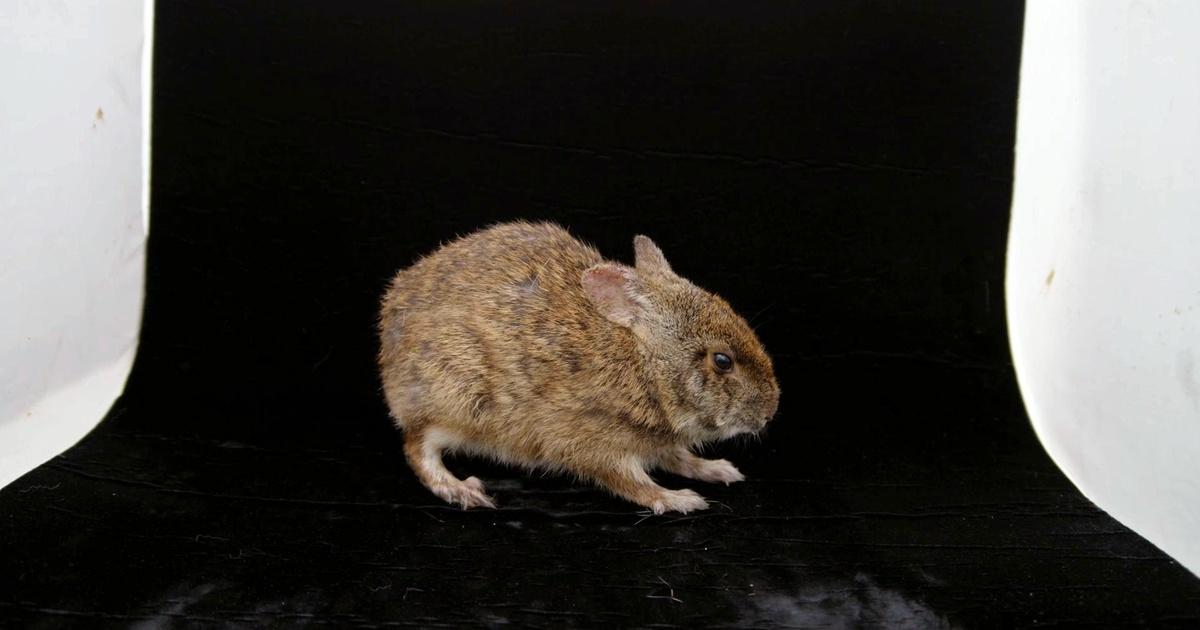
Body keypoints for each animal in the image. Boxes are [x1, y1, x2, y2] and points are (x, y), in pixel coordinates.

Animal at [376, 221, 780, 514]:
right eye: (722, 361)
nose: (769, 413)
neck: (644, 366)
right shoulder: (589, 440)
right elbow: (629, 480)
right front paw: (678, 499)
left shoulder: (659, 443)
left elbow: (678, 456)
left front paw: (716, 469)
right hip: (455, 399)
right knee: (417, 446)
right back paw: (461, 490)